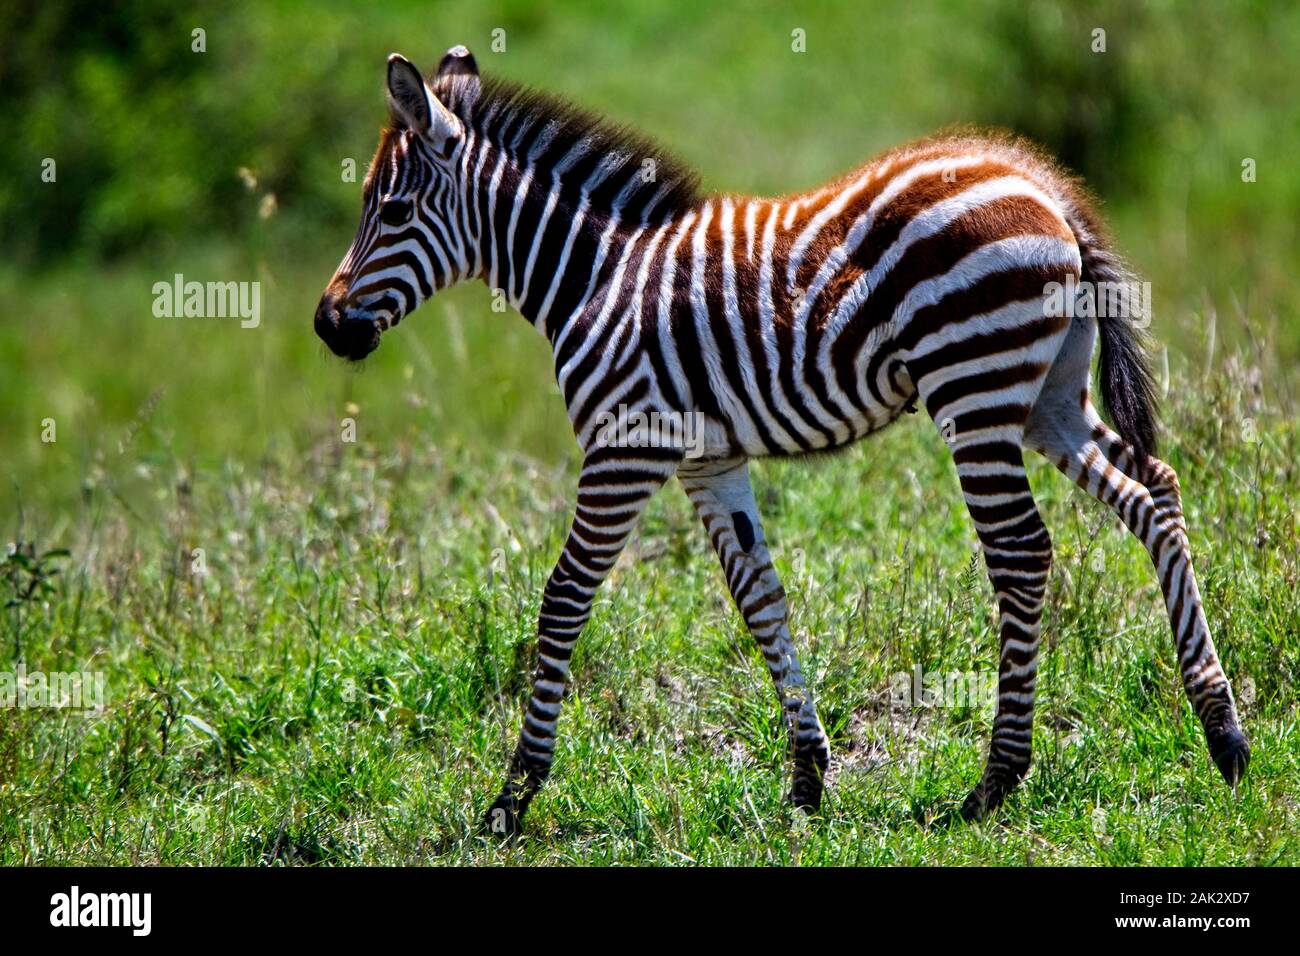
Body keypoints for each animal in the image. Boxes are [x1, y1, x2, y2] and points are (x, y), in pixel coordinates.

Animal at [314, 45, 1250, 835]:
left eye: (389, 210)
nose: (327, 327)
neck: (593, 276)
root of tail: (1047, 187)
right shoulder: (705, 459)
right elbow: (760, 597)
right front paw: (806, 777)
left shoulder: (624, 447)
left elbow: (564, 600)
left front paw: (514, 795)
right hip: (1048, 395)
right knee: (1154, 493)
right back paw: (1224, 735)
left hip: (974, 387)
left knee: (1022, 552)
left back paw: (996, 780)